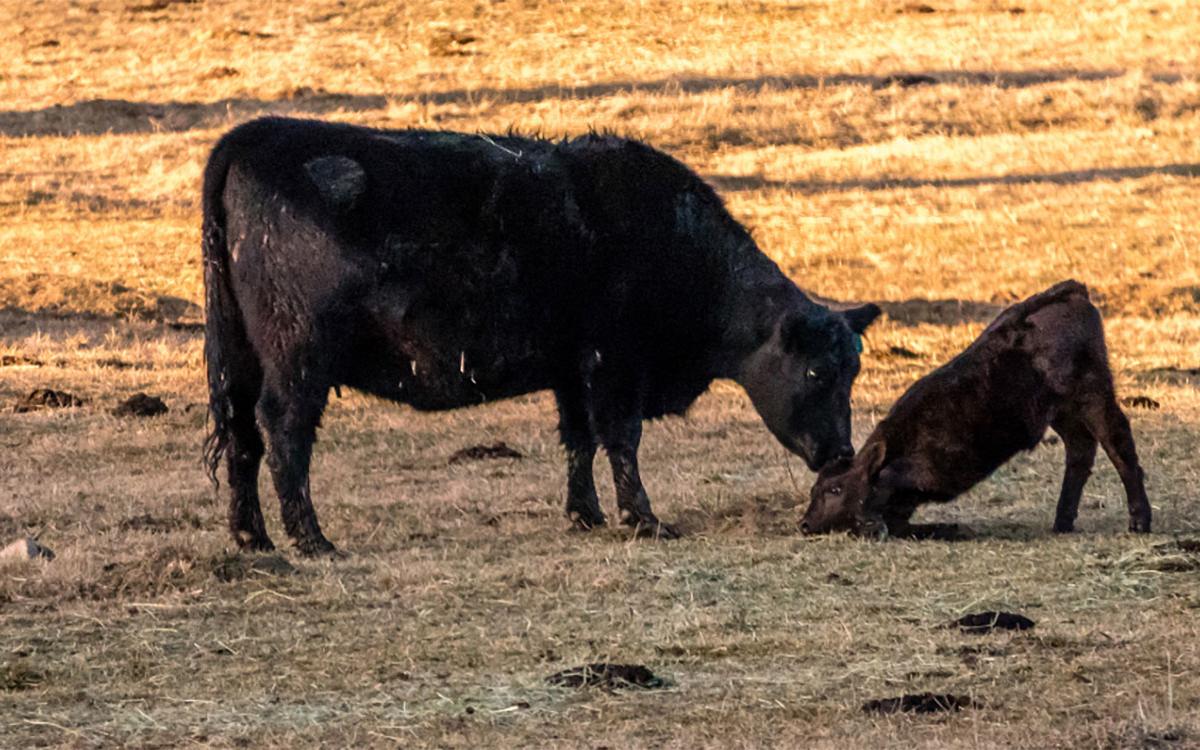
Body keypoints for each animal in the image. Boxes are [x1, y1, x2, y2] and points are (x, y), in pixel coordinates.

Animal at [202, 117, 881, 555]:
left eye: (853, 370)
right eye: (818, 371)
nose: (841, 453)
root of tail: (254, 134)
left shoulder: (572, 370)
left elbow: (578, 441)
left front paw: (586, 515)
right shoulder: (615, 364)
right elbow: (621, 440)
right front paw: (645, 519)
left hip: (240, 360)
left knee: (241, 437)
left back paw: (253, 538)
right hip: (298, 358)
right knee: (285, 434)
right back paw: (312, 539)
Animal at [801, 280, 1152, 538]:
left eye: (834, 489)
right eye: (814, 489)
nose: (804, 524)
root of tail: (1071, 291)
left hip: (1093, 394)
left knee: (1119, 446)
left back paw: (1139, 522)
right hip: (1062, 412)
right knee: (1080, 451)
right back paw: (1062, 522)